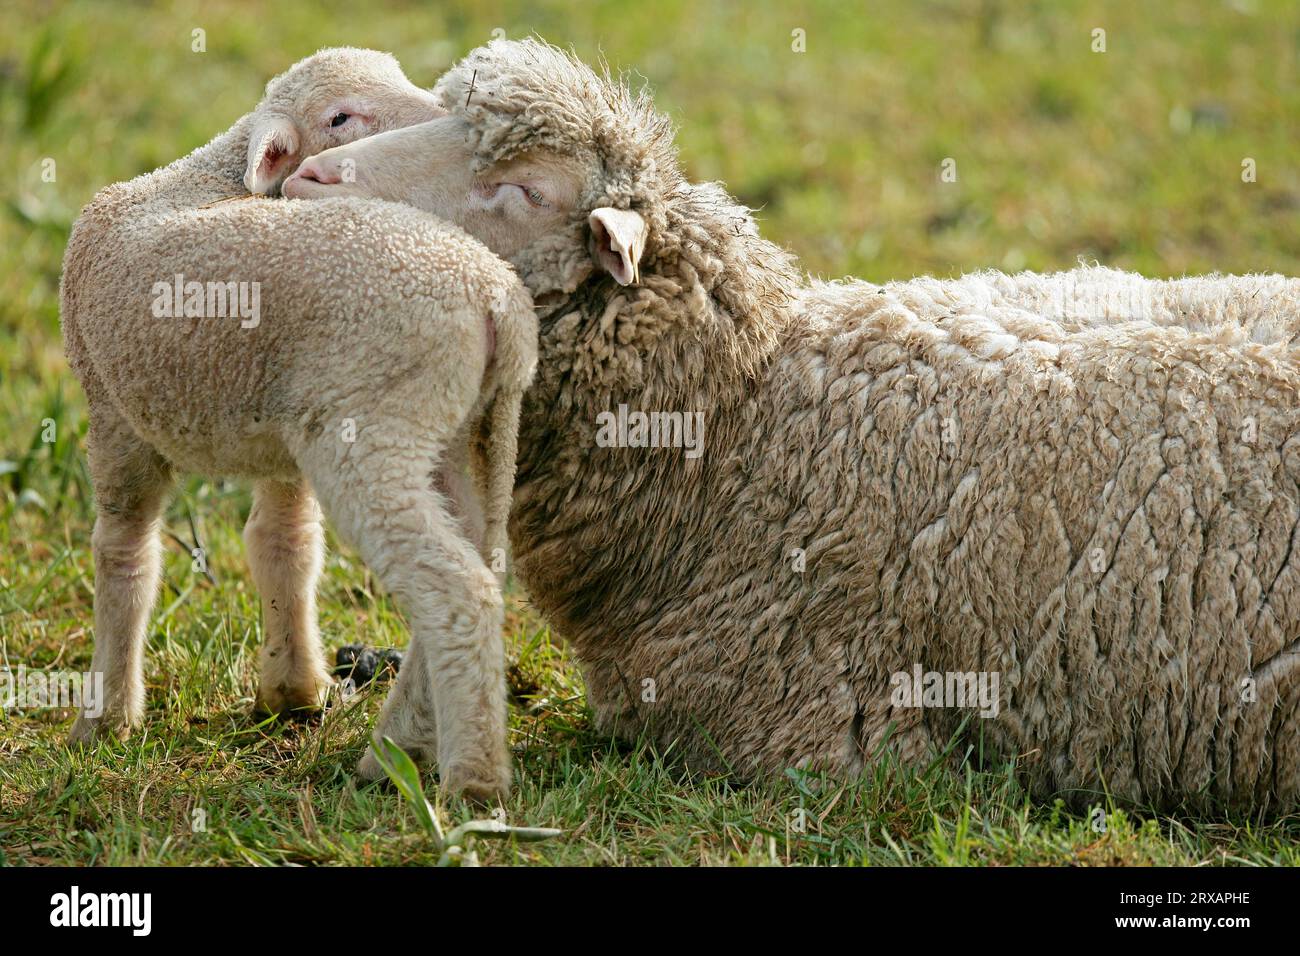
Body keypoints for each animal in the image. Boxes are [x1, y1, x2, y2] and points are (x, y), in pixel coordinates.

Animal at [60, 48, 538, 801]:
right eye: (339, 118)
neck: (210, 174)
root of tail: (495, 297)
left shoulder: (114, 412)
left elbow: (124, 555)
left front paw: (106, 719)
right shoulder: (279, 433)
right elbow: (283, 545)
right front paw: (294, 689)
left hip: (372, 430)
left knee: (456, 589)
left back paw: (472, 782)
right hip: (467, 433)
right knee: (479, 555)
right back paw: (406, 742)